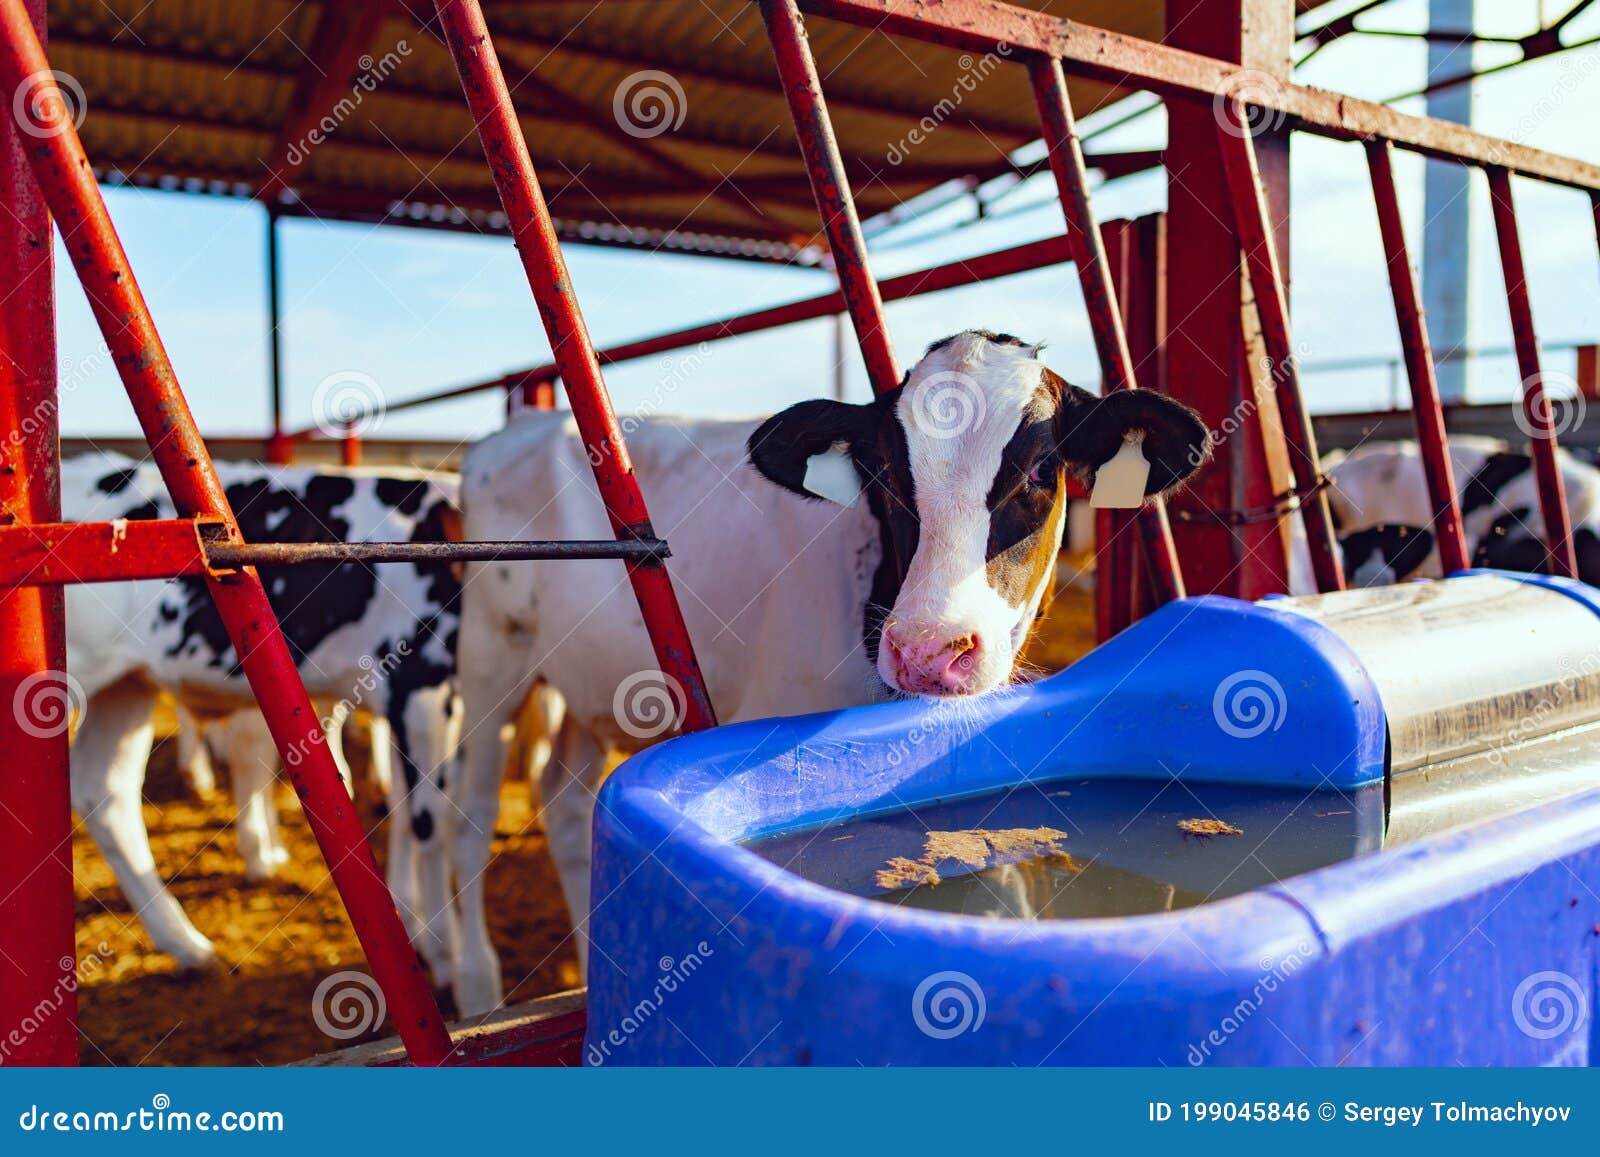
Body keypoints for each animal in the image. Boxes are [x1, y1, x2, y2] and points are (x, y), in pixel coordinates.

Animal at [62, 454, 462, 977]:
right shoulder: (423, 684)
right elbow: (431, 821)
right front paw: (447, 956)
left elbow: (403, 807)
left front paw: (415, 924)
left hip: (125, 686)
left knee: (105, 793)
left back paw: (189, 946)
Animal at [445, 330, 1211, 1014]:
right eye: (888, 477)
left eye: (1036, 475)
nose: (928, 649)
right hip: (490, 655)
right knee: (470, 813)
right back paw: (475, 989)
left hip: (583, 681)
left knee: (563, 799)